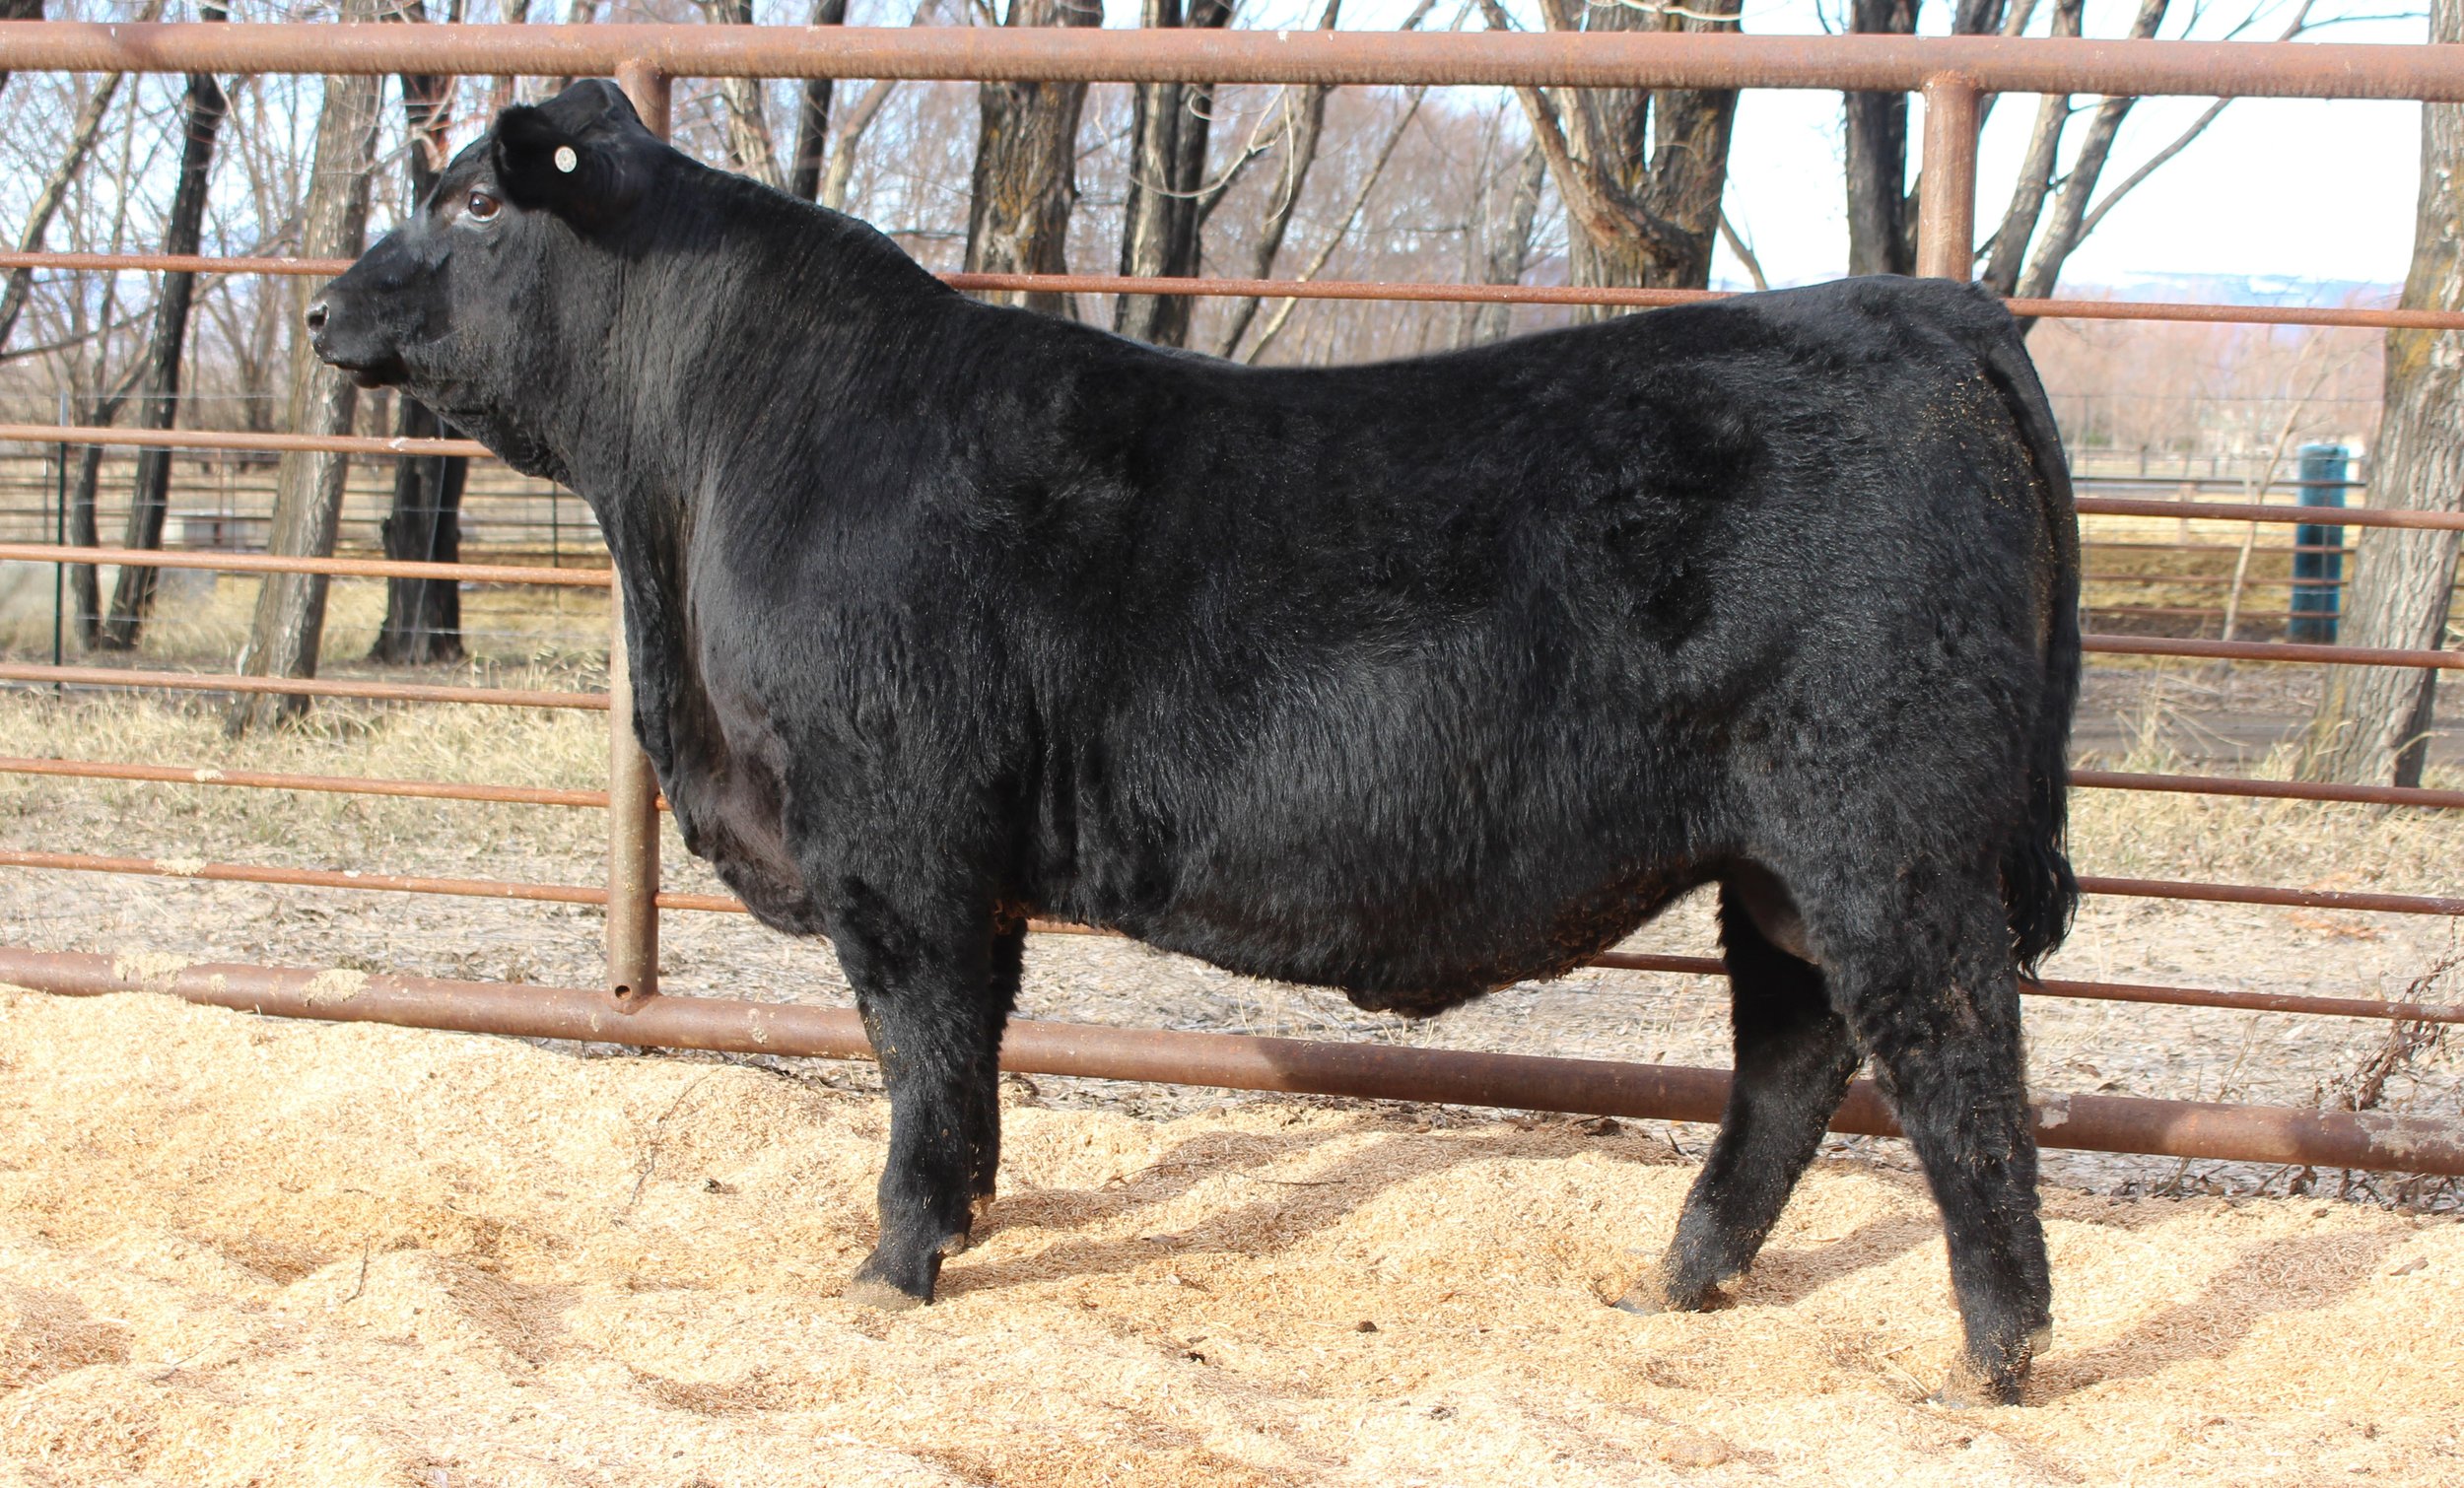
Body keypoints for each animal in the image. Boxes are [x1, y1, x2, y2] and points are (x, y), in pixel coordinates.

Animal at [310, 79, 2081, 1404]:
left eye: (477, 204)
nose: (324, 303)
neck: (691, 494)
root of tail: (1923, 305)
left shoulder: (899, 835)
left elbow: (922, 1053)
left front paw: (895, 1262)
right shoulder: (959, 858)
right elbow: (969, 1054)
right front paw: (955, 1227)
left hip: (1885, 829)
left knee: (1956, 1060)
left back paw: (1994, 1358)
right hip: (1776, 856)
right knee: (1795, 1055)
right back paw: (1678, 1283)